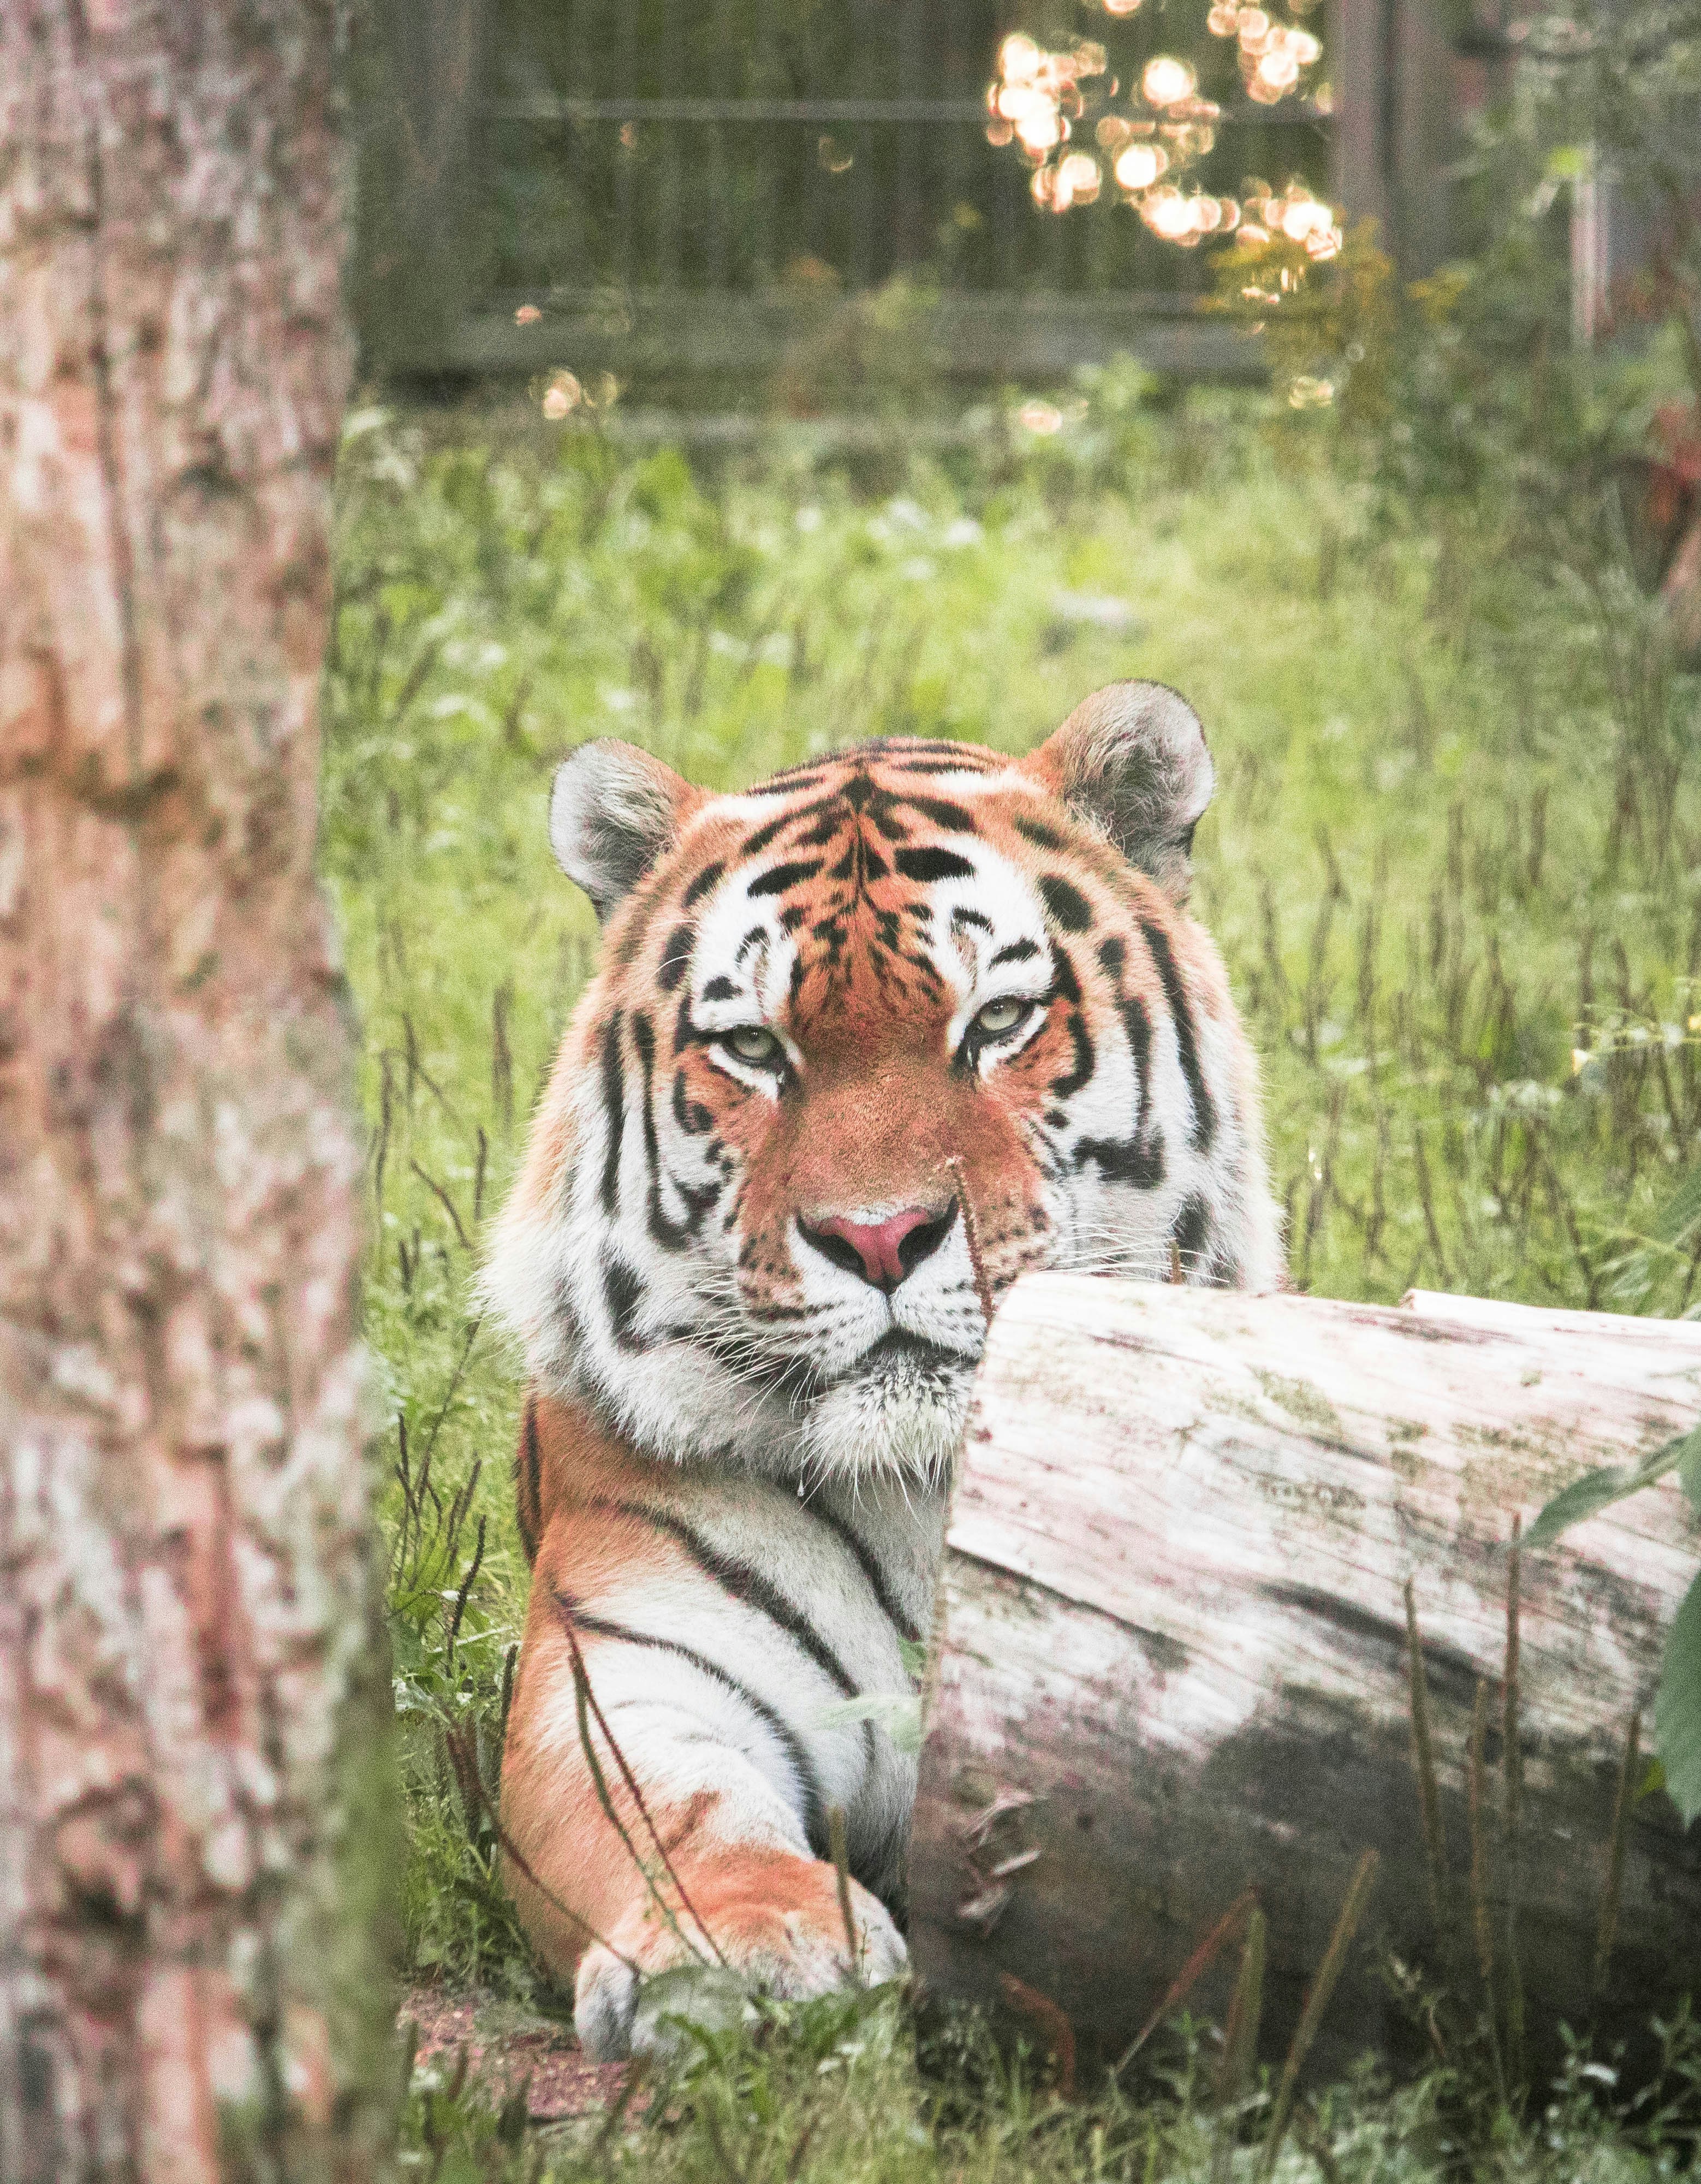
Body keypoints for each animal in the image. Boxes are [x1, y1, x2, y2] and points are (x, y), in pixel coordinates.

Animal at [483, 680, 1282, 2060]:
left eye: (997, 1023)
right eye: (755, 1047)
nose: (879, 1237)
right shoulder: (619, 1671)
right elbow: (678, 1813)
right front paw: (755, 1945)